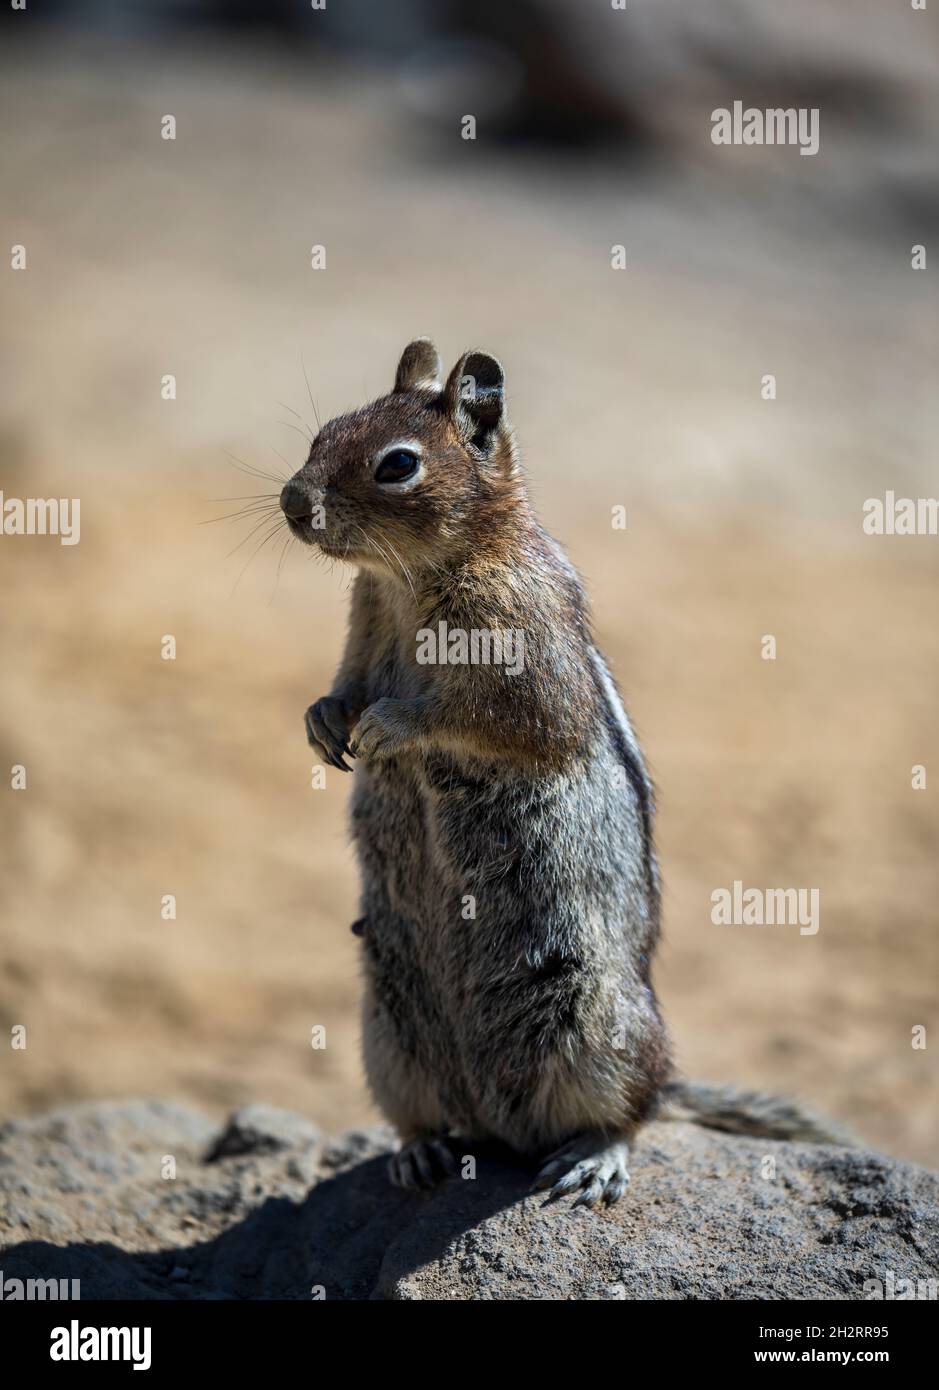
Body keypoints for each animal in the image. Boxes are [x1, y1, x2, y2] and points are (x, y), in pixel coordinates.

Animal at [281, 339, 849, 1207]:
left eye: (397, 465)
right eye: (321, 434)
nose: (289, 501)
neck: (409, 576)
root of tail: (499, 1124)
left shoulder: (528, 655)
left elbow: (493, 719)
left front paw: (388, 726)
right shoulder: (361, 621)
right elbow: (343, 683)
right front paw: (322, 721)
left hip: (598, 1025)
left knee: (632, 1112)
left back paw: (591, 1161)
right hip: (386, 1033)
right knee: (428, 1114)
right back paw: (420, 1151)